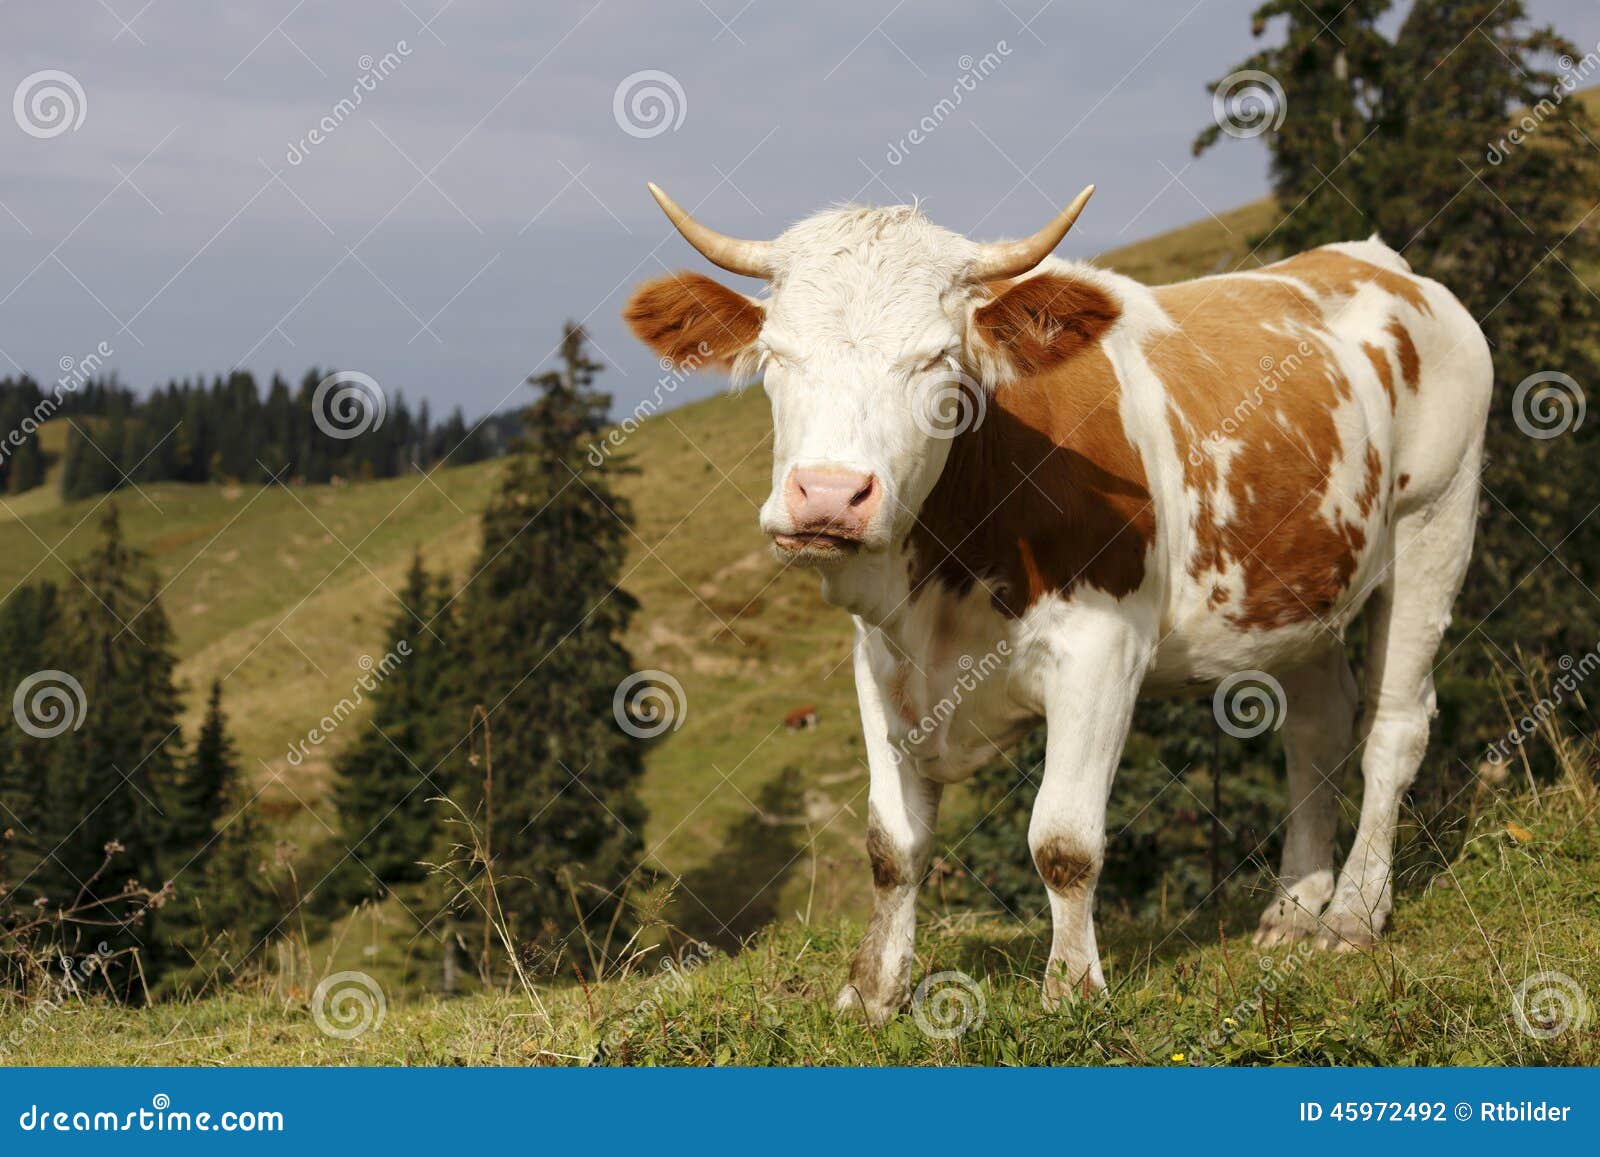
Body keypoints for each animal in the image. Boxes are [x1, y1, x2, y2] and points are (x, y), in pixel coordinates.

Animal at [623, 182, 1492, 1023]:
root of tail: (1376, 261)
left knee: (1393, 725)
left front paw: (1071, 988)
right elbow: (891, 843)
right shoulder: (880, 654)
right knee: (1316, 727)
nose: (829, 497)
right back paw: (1292, 909)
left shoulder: (1100, 650)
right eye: (776, 354)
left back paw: (1353, 913)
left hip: (1434, 520)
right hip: (1293, 595)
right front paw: (873, 992)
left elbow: (1063, 840)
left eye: (938, 358)